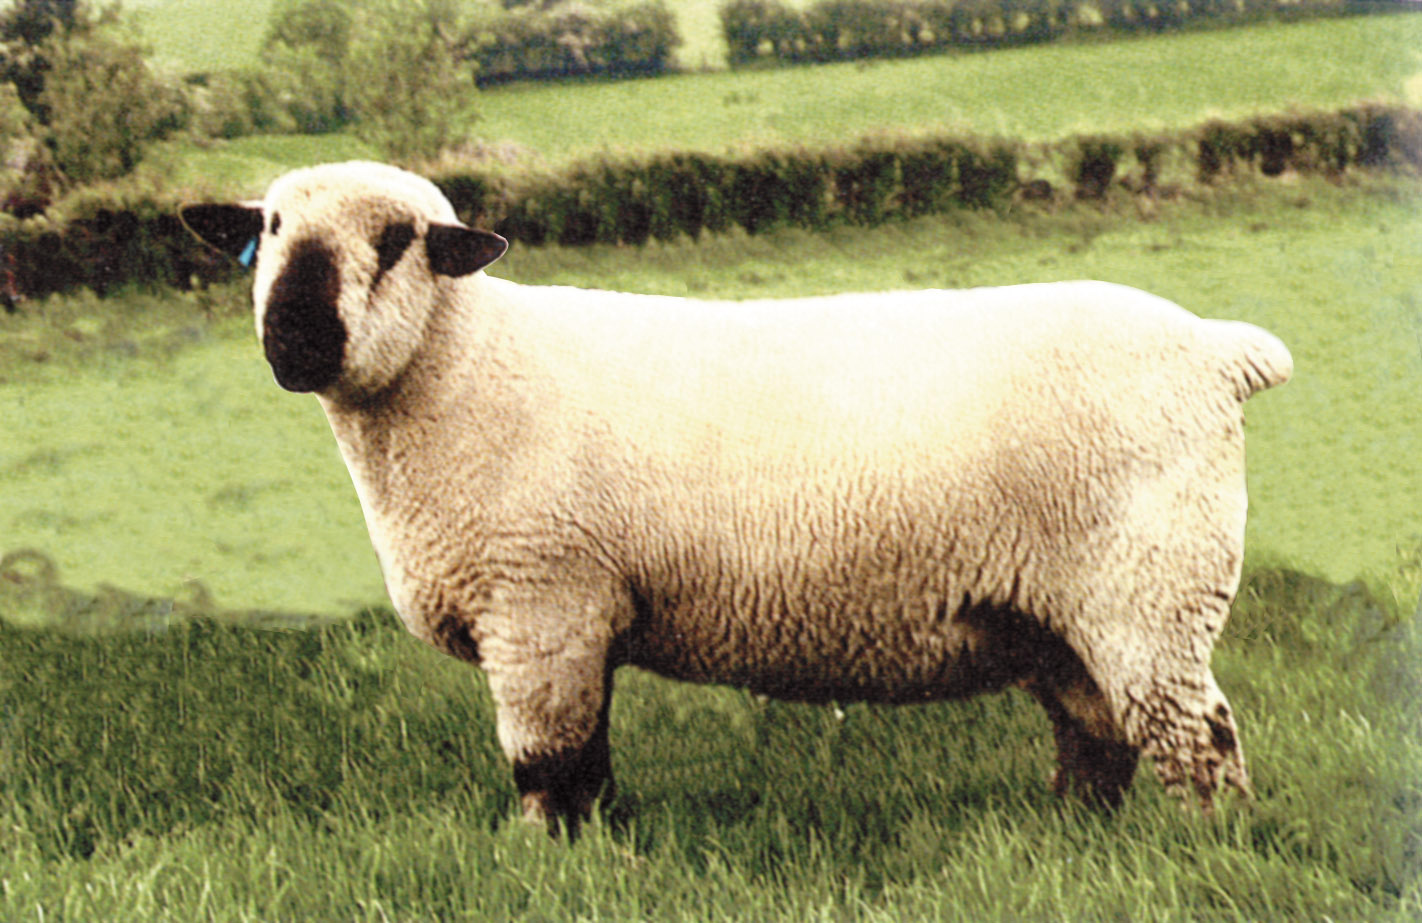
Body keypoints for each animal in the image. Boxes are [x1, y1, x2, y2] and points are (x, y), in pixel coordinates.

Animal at [182, 161, 1293, 833]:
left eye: (398, 240)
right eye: (268, 229)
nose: (294, 331)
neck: (457, 372)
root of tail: (1219, 349)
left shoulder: (542, 603)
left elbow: (548, 760)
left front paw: (547, 856)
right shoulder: (575, 614)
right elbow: (590, 757)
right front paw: (601, 847)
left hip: (1151, 585)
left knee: (1195, 734)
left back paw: (1211, 848)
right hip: (1064, 610)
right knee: (1097, 731)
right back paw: (1066, 834)